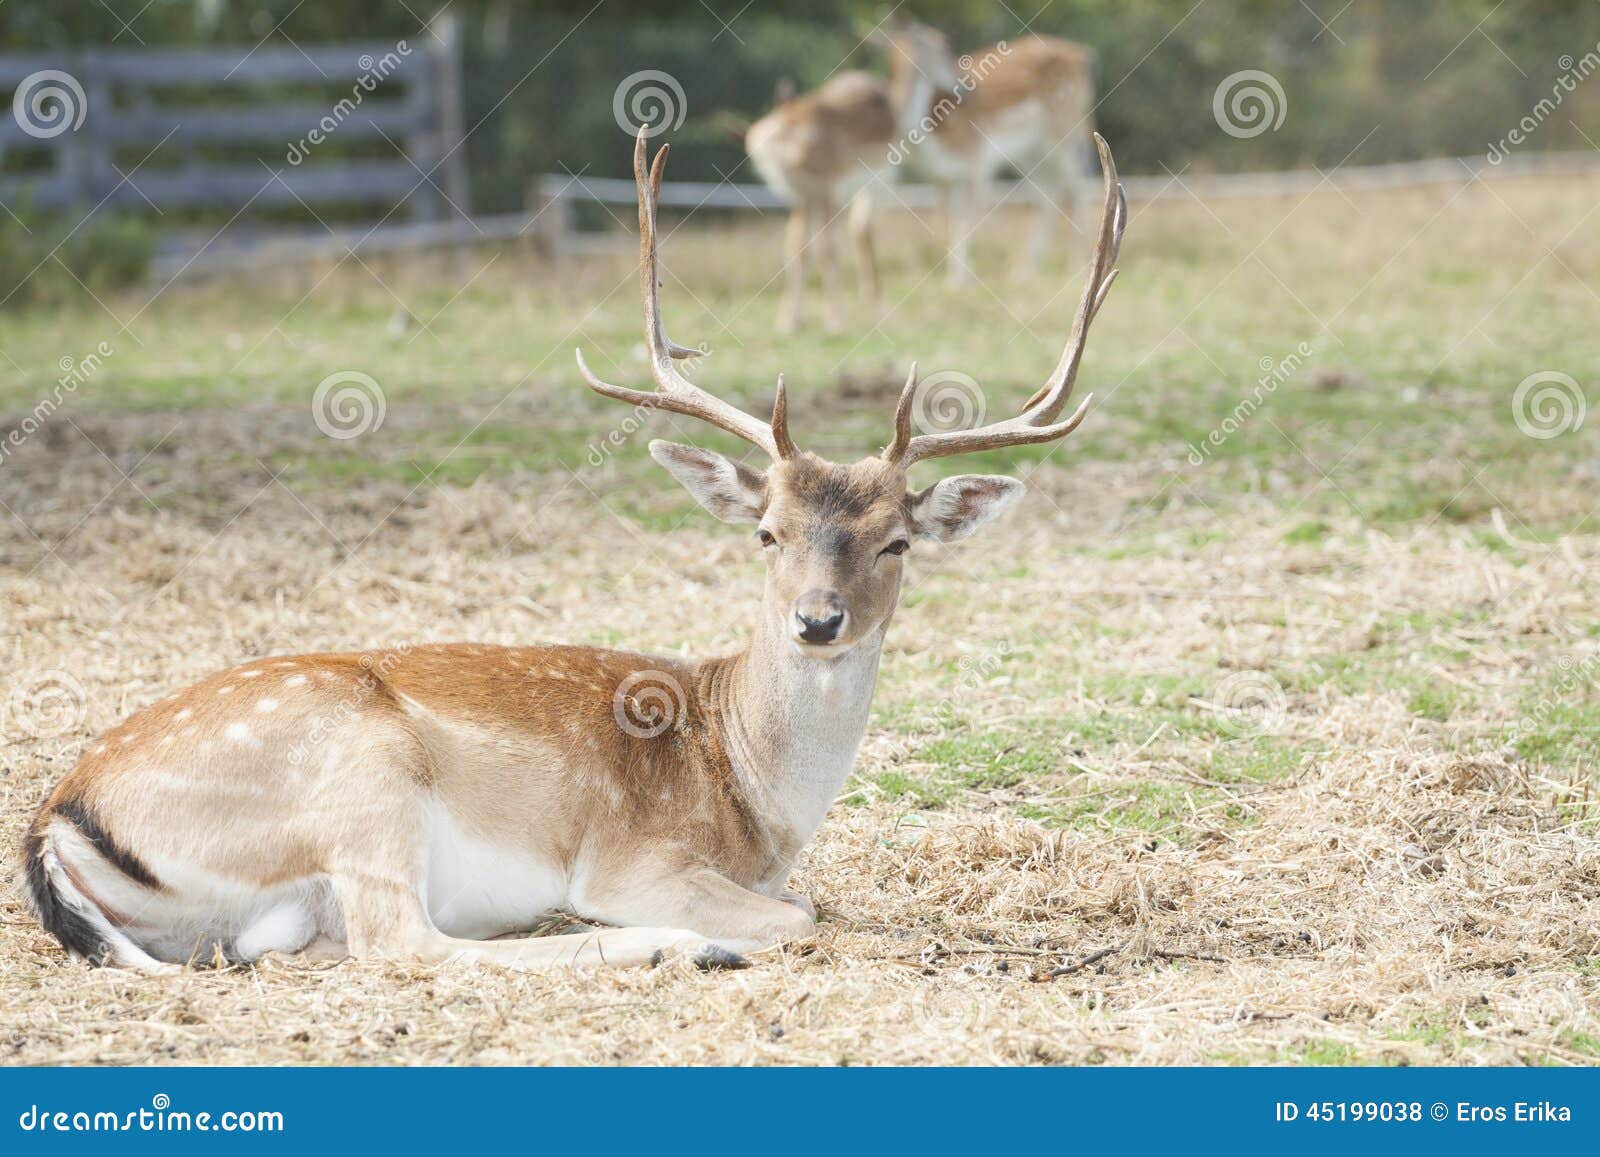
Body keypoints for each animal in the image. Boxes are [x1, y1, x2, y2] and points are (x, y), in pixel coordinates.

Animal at [22, 129, 1126, 976]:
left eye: (895, 540)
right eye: (764, 529)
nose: (818, 619)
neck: (753, 794)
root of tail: (59, 817)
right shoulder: (635, 854)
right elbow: (803, 910)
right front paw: (700, 928)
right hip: (364, 773)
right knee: (402, 940)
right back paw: (676, 944)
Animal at [875, 17, 1097, 287]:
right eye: (942, 48)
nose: (963, 84)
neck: (936, 137)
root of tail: (1083, 56)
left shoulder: (976, 160)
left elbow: (965, 220)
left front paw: (960, 281)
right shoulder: (941, 176)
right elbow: (946, 221)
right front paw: (954, 277)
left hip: (1066, 131)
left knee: (1076, 189)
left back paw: (1078, 267)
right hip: (1033, 151)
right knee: (1050, 195)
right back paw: (1022, 272)